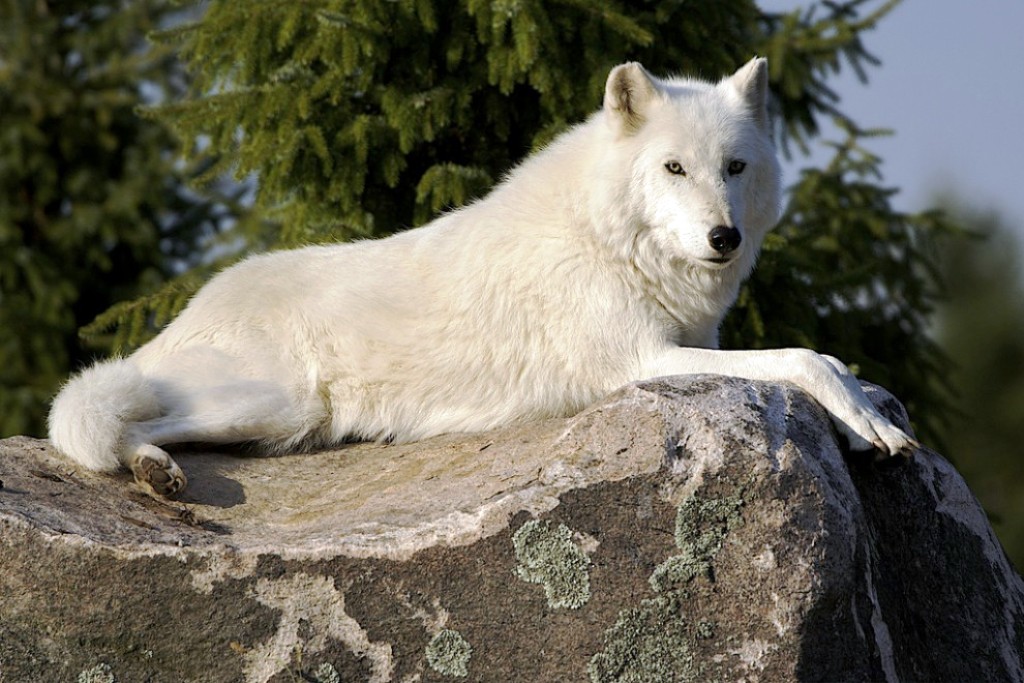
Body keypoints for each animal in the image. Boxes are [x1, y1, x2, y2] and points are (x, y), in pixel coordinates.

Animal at [48, 58, 917, 497]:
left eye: (734, 167)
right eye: (673, 168)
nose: (723, 237)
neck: (608, 241)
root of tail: (184, 313)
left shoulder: (688, 340)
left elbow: (828, 358)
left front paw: (874, 408)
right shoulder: (641, 360)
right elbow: (803, 357)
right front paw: (868, 417)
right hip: (277, 403)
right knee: (100, 426)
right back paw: (153, 471)